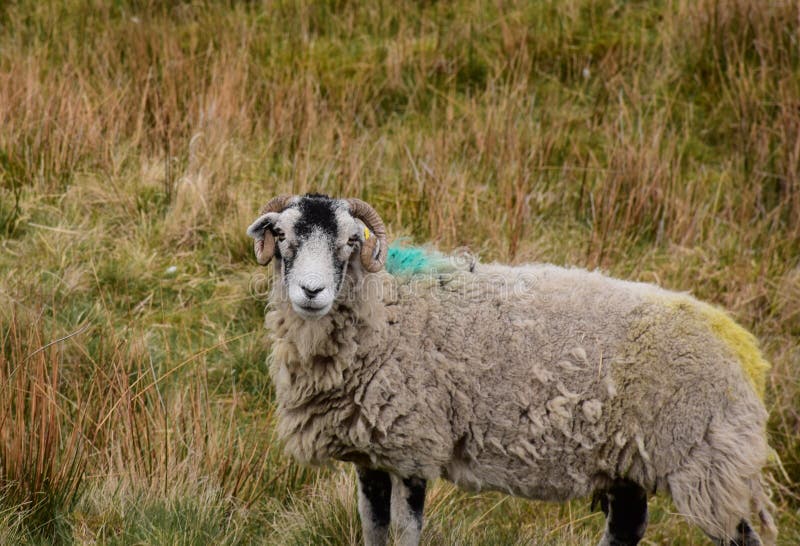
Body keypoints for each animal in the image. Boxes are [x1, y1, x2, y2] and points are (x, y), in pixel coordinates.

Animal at [246, 193, 777, 546]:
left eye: (351, 241)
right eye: (283, 236)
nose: (311, 292)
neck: (388, 311)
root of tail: (744, 350)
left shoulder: (416, 445)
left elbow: (406, 531)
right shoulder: (371, 453)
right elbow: (372, 529)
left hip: (707, 464)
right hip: (632, 460)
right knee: (627, 525)